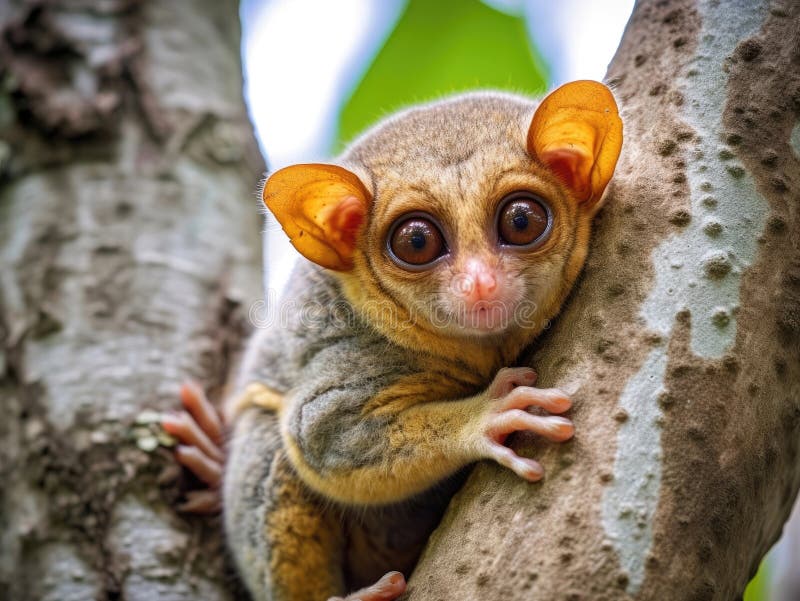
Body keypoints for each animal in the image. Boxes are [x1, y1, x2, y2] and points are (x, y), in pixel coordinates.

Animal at [162, 80, 622, 601]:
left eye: (521, 221)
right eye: (416, 242)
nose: (480, 285)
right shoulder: (361, 356)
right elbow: (321, 432)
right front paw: (486, 419)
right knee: (271, 443)